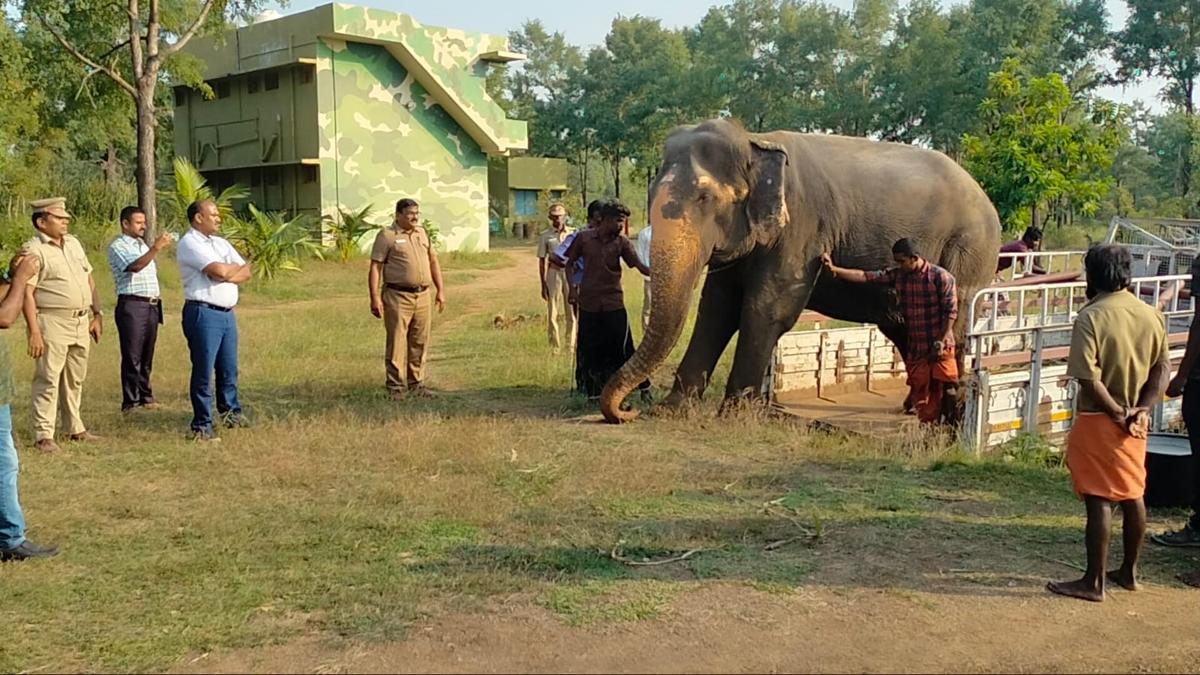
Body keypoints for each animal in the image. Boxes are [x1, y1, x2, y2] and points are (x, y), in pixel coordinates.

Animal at [600, 118, 1001, 423]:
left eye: (705, 198)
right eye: (651, 191)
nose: (629, 410)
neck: (755, 142)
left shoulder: (801, 227)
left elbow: (767, 307)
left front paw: (735, 414)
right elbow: (716, 307)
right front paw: (673, 410)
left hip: (969, 248)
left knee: (950, 323)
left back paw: (948, 418)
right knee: (903, 327)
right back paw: (914, 409)